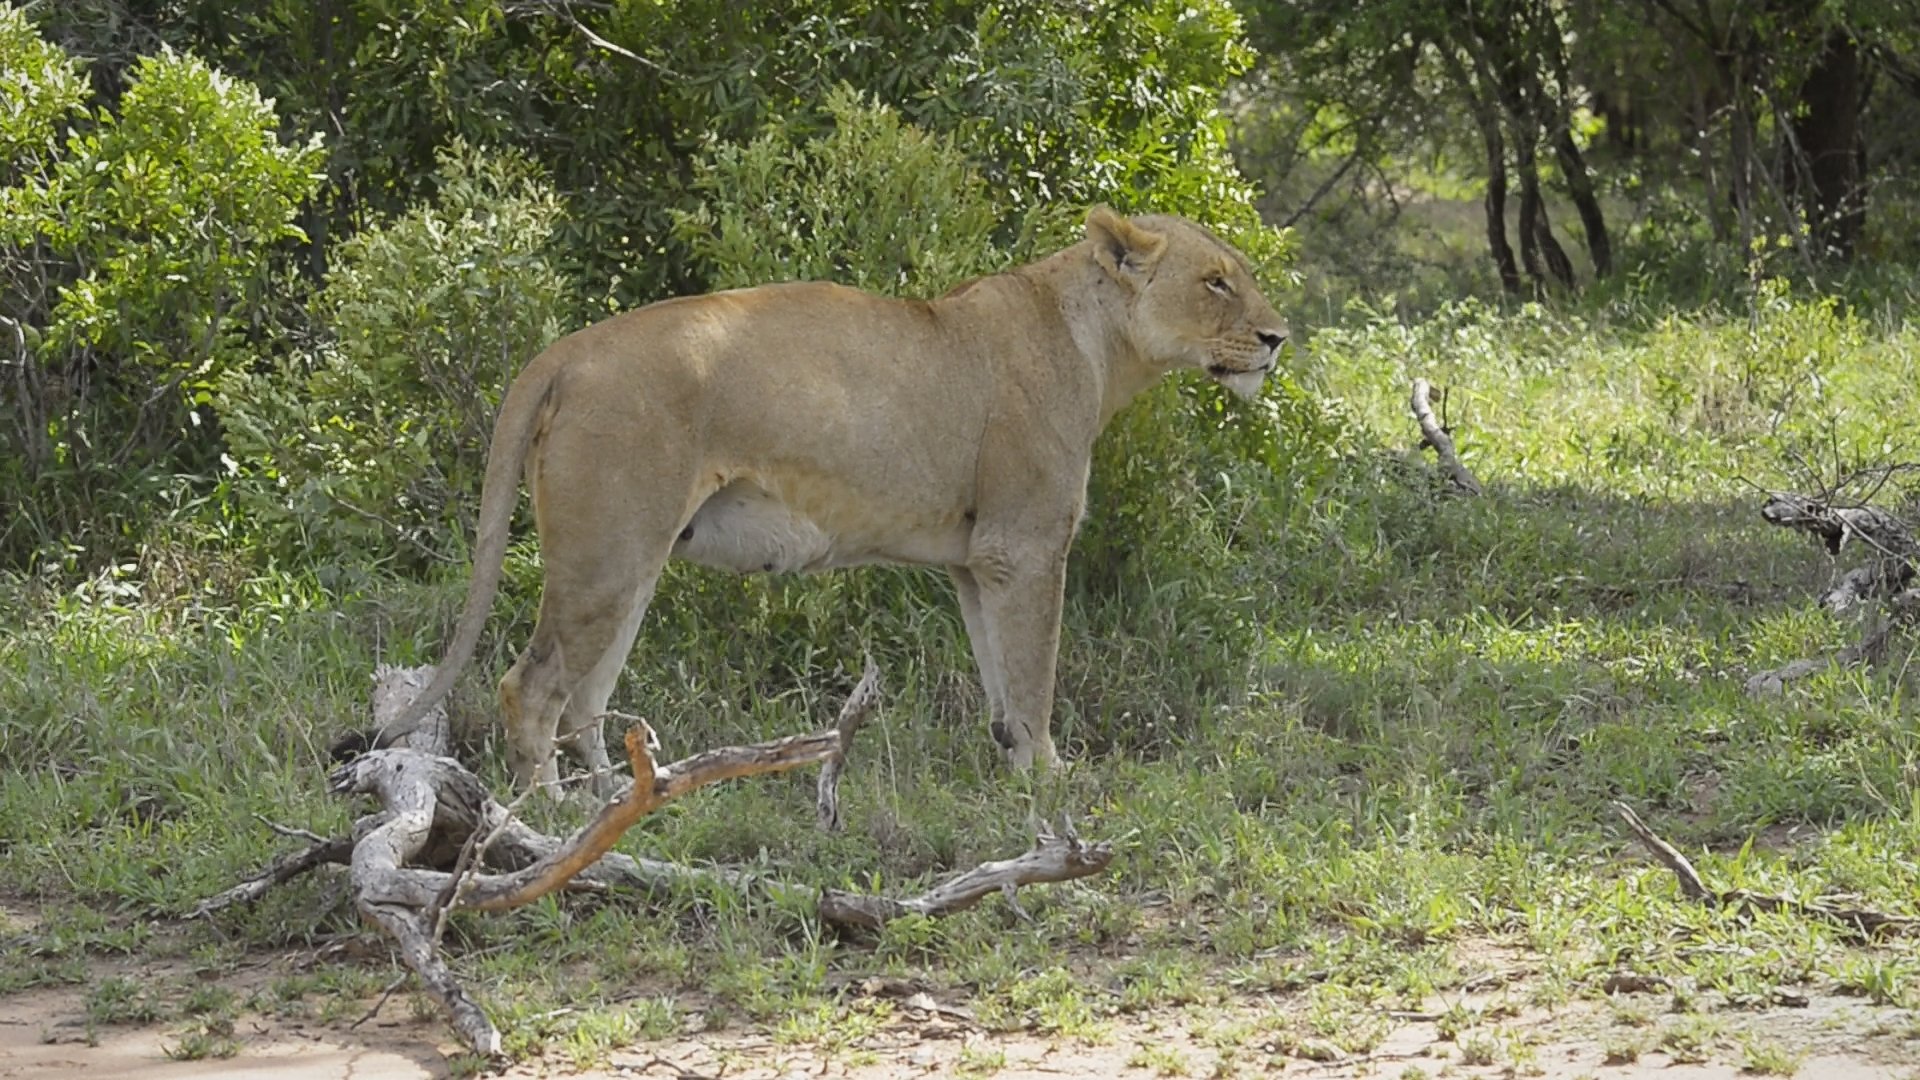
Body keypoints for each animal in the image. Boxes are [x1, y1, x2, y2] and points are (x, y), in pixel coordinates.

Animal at [372, 206, 1290, 793]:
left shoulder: (975, 561)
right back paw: (552, 823)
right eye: (1216, 282)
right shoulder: (1026, 544)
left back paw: (624, 806)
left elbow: (1000, 677)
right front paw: (1050, 781)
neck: (1098, 344)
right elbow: (1035, 673)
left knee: (586, 703)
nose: (1278, 338)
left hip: (630, 564)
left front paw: (1011, 766)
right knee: (530, 690)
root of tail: (562, 352)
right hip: (607, 556)